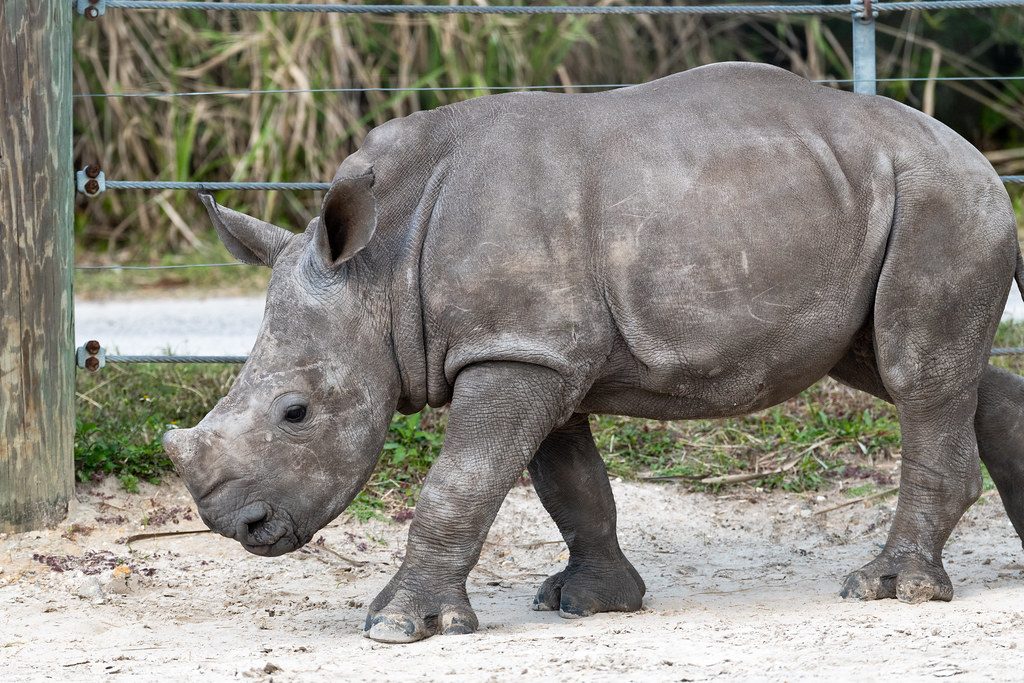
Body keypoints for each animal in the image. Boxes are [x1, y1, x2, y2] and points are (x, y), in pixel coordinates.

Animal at [163, 62, 1024, 644]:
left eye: (296, 412)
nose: (237, 524)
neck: (381, 268)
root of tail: (981, 158)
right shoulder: (540, 352)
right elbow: (571, 485)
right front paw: (592, 601)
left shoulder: (518, 353)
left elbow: (460, 481)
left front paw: (398, 627)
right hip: (870, 203)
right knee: (913, 367)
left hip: (942, 200)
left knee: (916, 372)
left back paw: (889, 588)